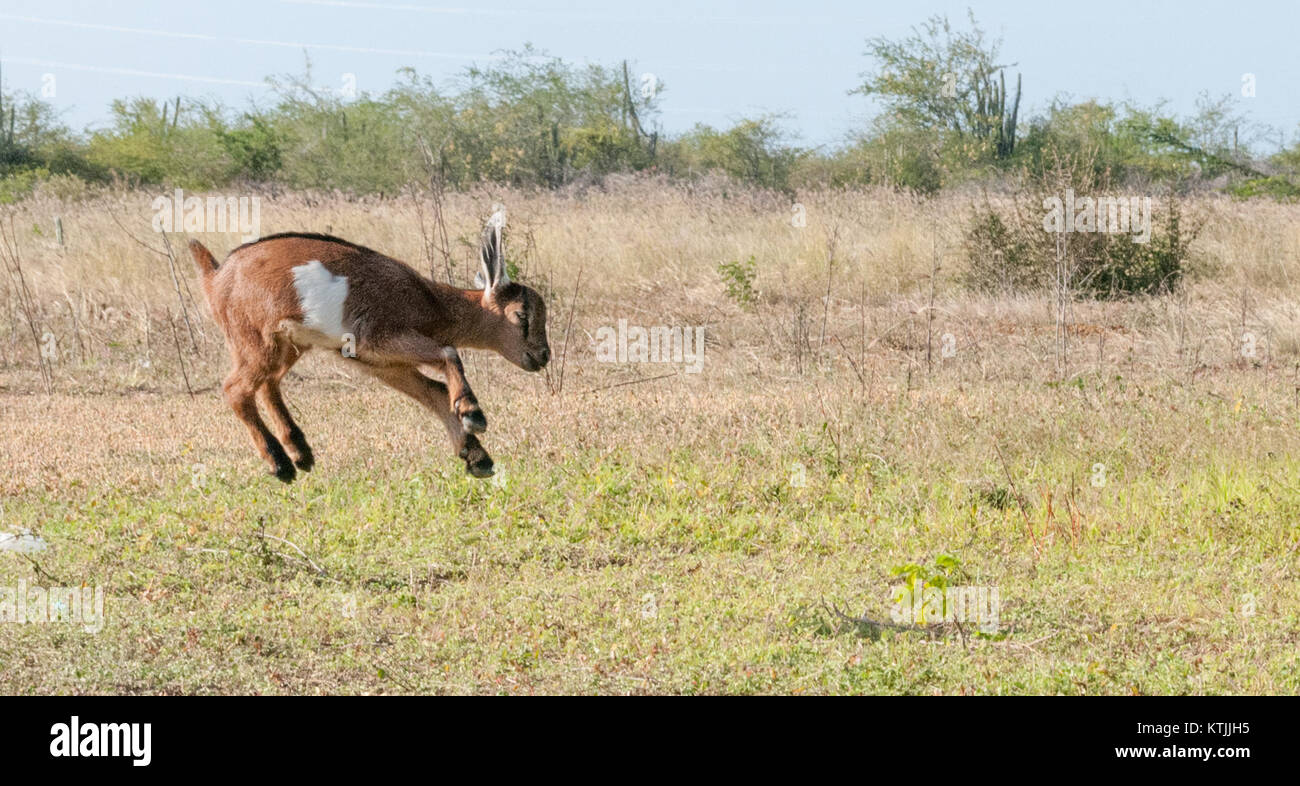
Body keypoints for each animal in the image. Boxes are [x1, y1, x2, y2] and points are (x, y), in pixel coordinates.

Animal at [189, 215, 549, 482]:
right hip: (253, 340)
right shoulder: (379, 336)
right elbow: (448, 353)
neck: (430, 302)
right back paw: (279, 463)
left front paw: (476, 456)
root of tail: (215, 277)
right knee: (235, 389)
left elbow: (433, 391)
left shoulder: (381, 363)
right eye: (521, 315)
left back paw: (300, 451)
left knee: (267, 384)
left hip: (287, 345)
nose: (542, 356)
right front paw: (472, 414)